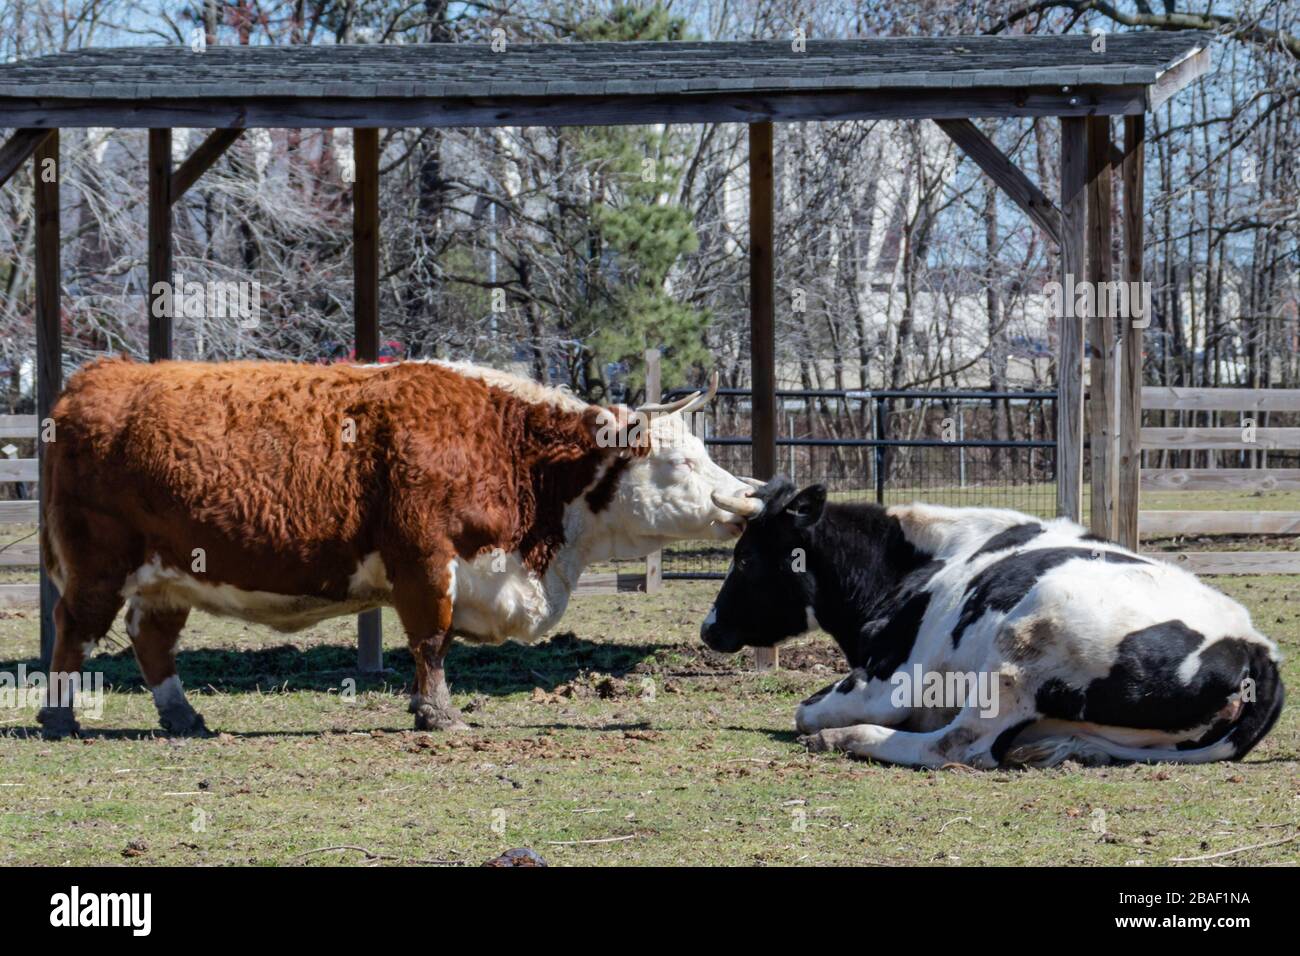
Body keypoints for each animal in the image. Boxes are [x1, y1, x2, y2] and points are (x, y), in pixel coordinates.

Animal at [38, 356, 757, 739]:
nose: (746, 501)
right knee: (73, 629)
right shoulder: (424, 560)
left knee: (152, 638)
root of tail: (102, 375)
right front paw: (438, 715)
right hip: (98, 565)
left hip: (170, 576)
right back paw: (59, 717)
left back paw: (184, 716)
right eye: (677, 462)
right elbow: (431, 640)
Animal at [702, 478, 1284, 768]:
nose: (709, 629)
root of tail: (1255, 646)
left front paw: (828, 727)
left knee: (956, 747)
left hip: (1020, 648)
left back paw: (848, 739)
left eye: (745, 559)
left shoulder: (891, 682)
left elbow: (804, 711)